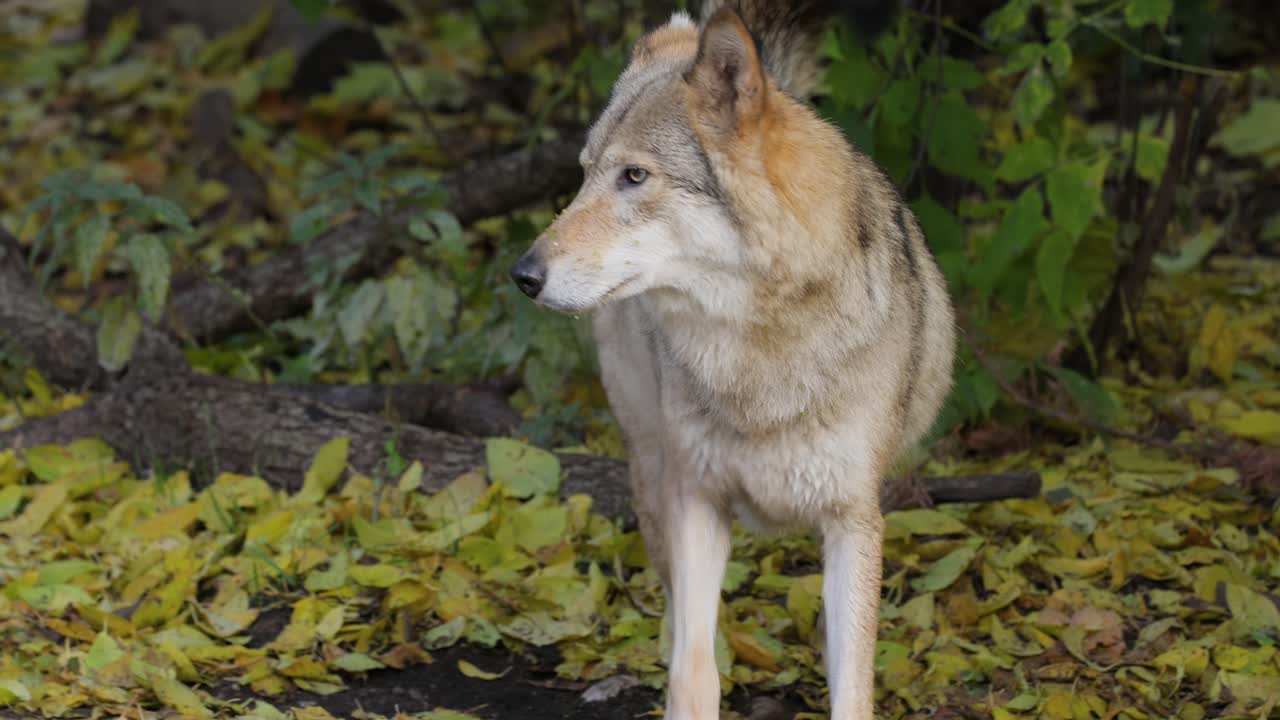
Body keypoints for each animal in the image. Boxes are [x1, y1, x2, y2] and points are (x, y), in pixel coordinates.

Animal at [509, 1, 955, 717]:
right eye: (581, 175)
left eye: (634, 176)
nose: (522, 275)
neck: (758, 357)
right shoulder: (697, 500)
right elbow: (693, 671)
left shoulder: (855, 521)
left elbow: (852, 687)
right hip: (653, 474)